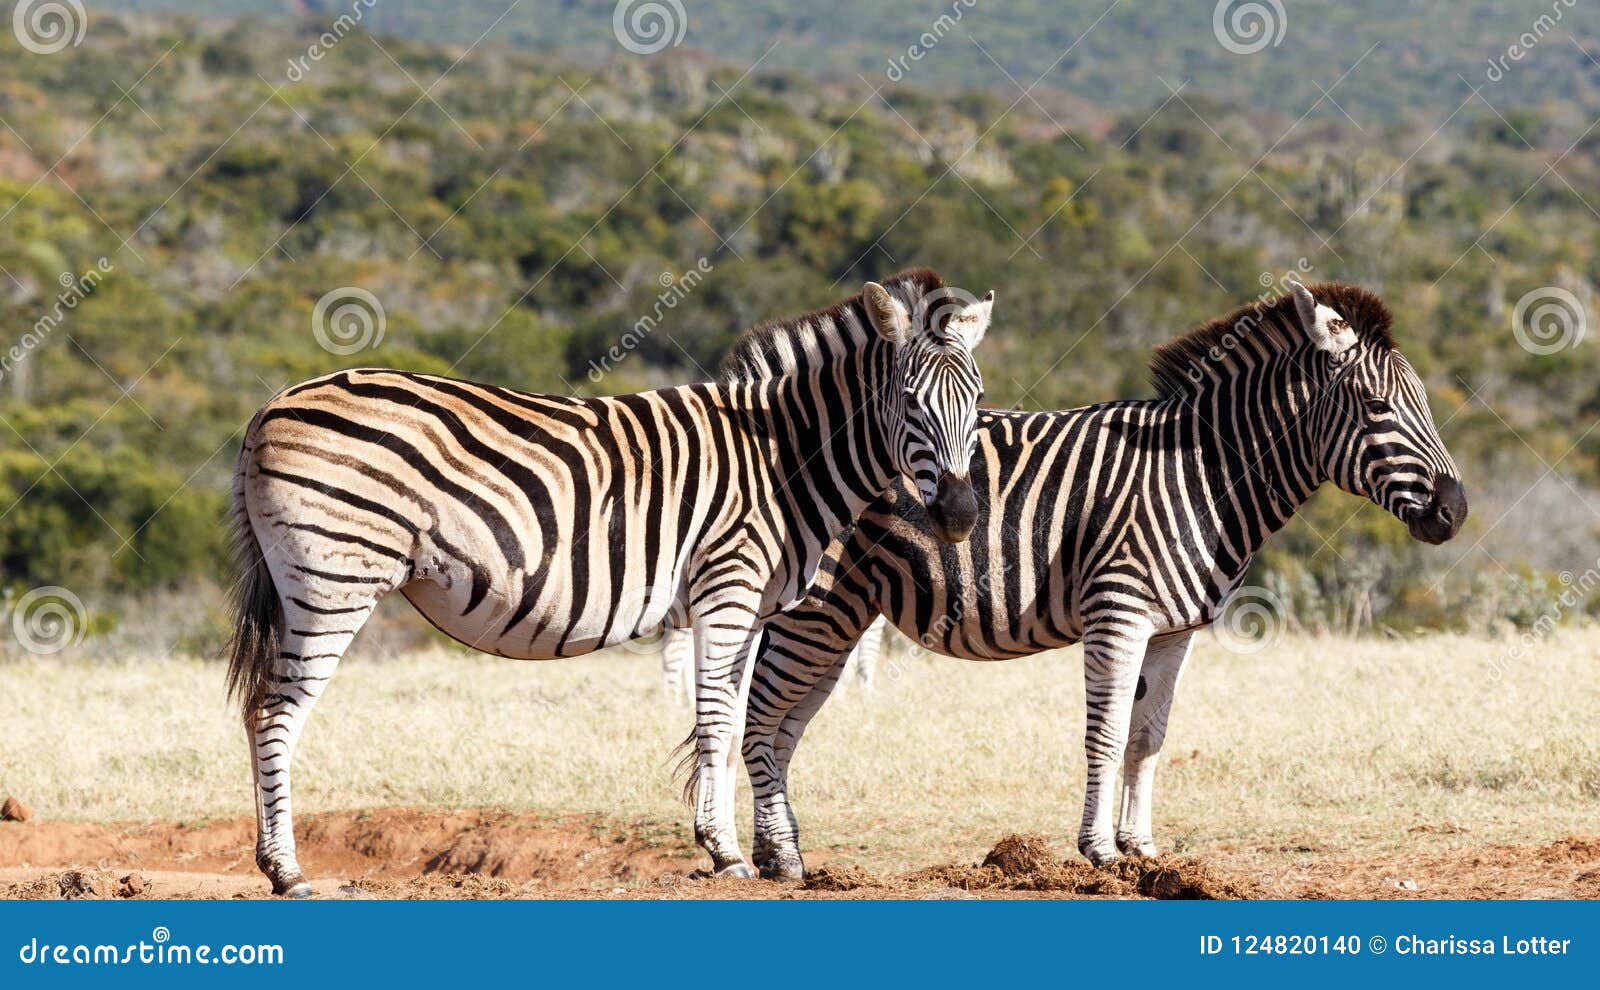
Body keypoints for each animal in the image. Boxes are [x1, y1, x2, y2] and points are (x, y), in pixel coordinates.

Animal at [225, 267, 993, 895]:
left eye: (978, 399)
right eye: (909, 401)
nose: (960, 515)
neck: (785, 458)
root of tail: (270, 405)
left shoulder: (751, 607)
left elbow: (734, 721)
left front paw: (728, 848)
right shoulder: (727, 587)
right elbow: (716, 721)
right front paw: (725, 854)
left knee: (261, 707)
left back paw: (274, 863)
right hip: (333, 577)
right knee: (275, 712)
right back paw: (287, 871)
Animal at [741, 279, 1468, 880]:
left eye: (1424, 404)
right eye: (1375, 406)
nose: (1454, 512)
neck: (1203, 476)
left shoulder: (1175, 630)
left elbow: (1149, 736)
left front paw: (1142, 848)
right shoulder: (1118, 612)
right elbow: (1107, 732)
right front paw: (1098, 850)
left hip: (835, 619)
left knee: (782, 727)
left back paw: (778, 851)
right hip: (816, 611)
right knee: (759, 715)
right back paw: (773, 858)